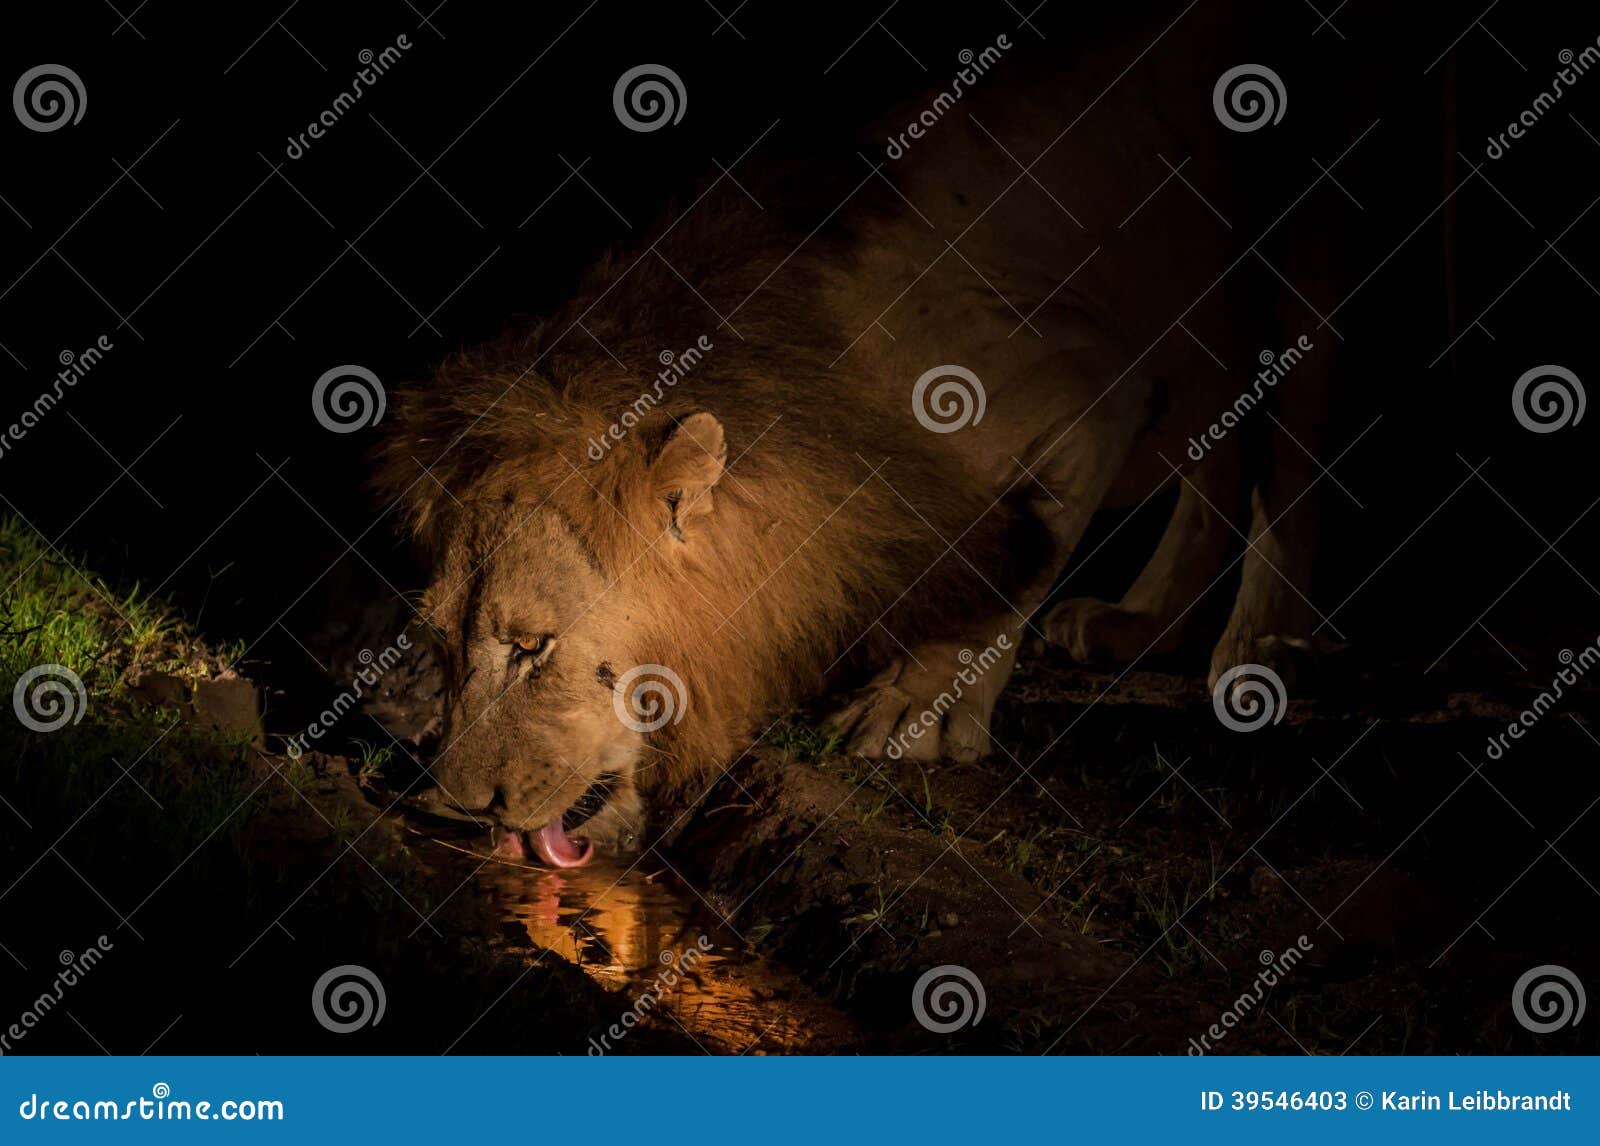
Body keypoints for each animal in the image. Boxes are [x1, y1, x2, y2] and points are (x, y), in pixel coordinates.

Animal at [376, 9, 1343, 865]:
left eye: (531, 646)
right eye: (448, 639)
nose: (458, 804)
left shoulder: (1089, 387)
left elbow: (1015, 564)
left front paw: (917, 708)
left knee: (1291, 429)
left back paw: (1261, 651)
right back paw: (1141, 625)